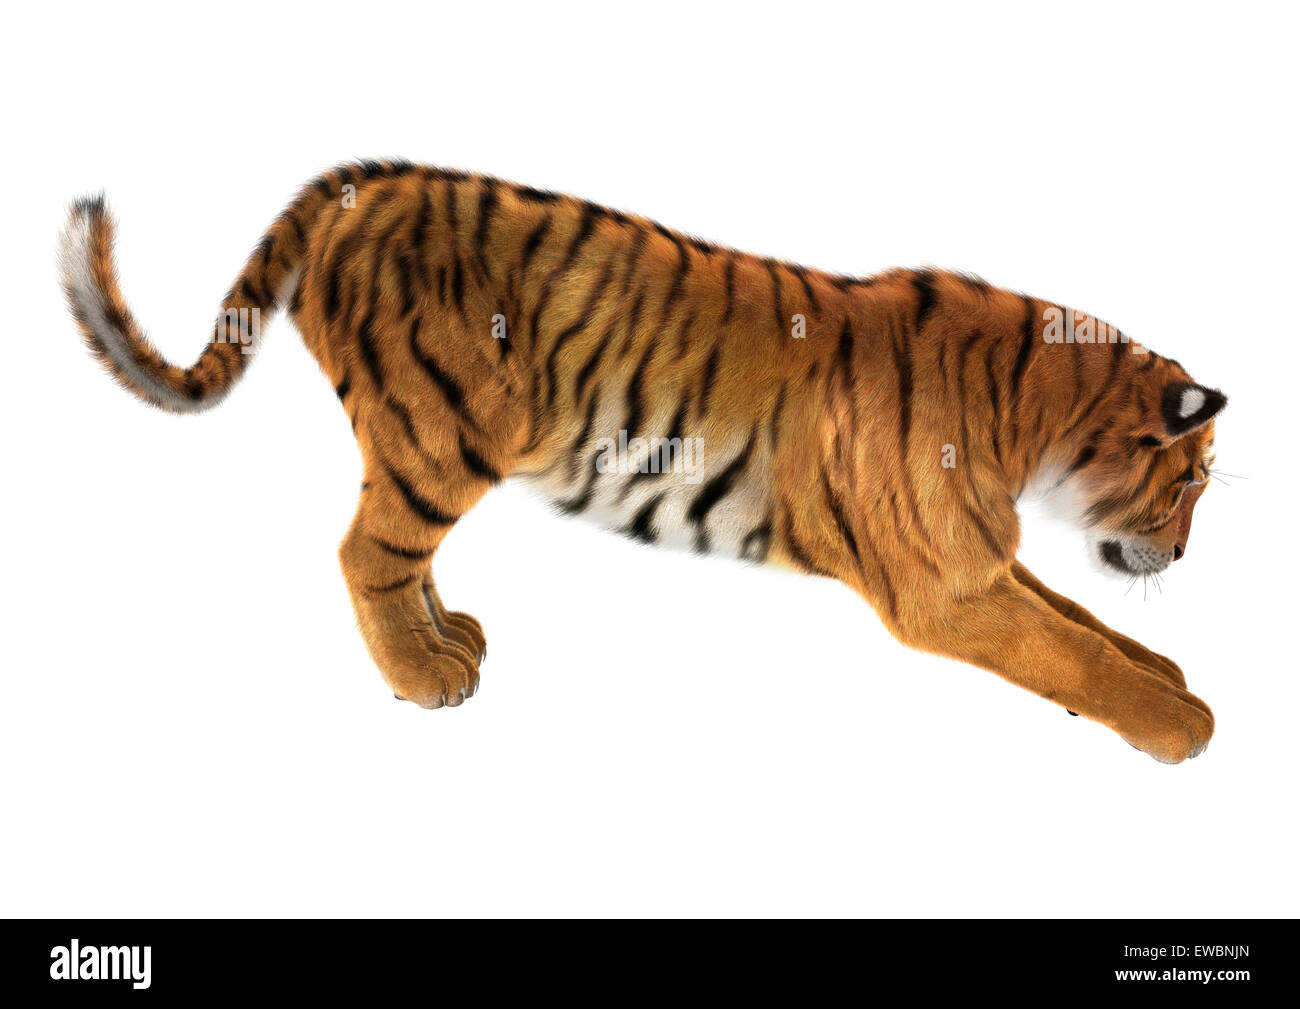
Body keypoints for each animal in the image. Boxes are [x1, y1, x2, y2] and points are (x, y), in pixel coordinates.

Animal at [59, 158, 1227, 763]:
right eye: (1191, 482)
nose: (1179, 555)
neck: (1036, 416)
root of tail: (358, 184)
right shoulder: (938, 583)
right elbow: (1066, 649)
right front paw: (1184, 723)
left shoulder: (976, 557)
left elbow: (1083, 627)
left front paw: (1166, 673)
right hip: (443, 430)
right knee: (365, 553)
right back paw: (424, 678)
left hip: (417, 443)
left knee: (397, 552)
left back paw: (450, 642)